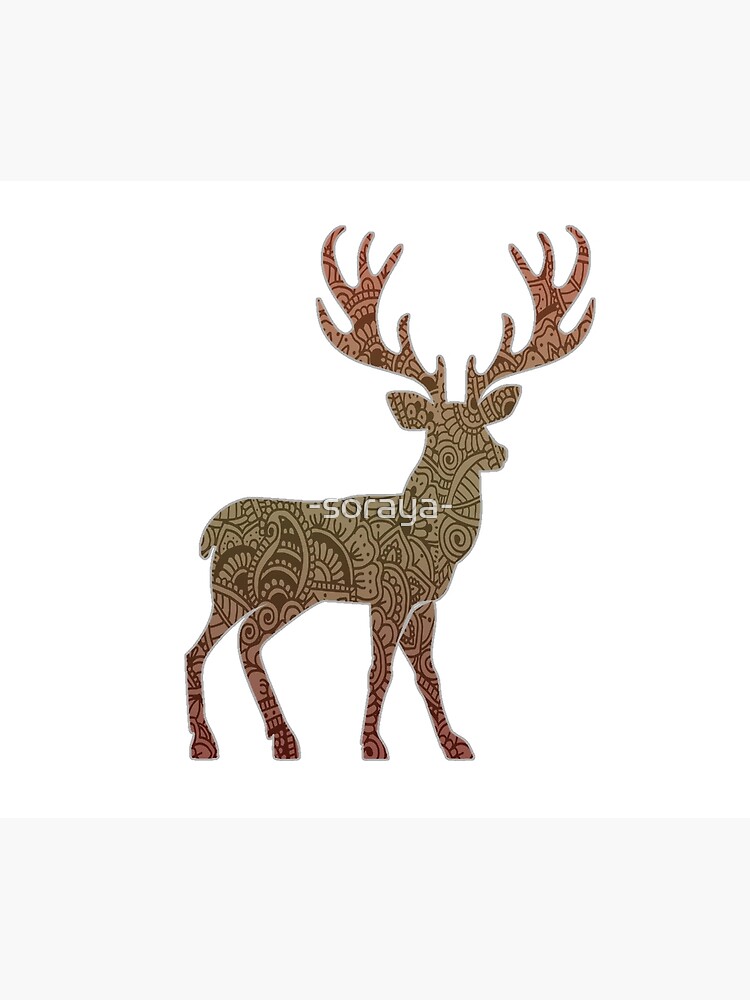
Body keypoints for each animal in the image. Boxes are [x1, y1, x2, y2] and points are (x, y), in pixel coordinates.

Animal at [185, 225, 595, 761]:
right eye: (439, 436)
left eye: (483, 424)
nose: (500, 452)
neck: (427, 535)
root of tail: (210, 530)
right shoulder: (389, 595)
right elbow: (380, 670)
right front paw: (372, 745)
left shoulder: (425, 606)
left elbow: (429, 675)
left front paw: (454, 744)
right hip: (253, 589)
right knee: (226, 644)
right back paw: (237, 741)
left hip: (260, 596)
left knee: (222, 645)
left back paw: (254, 741)